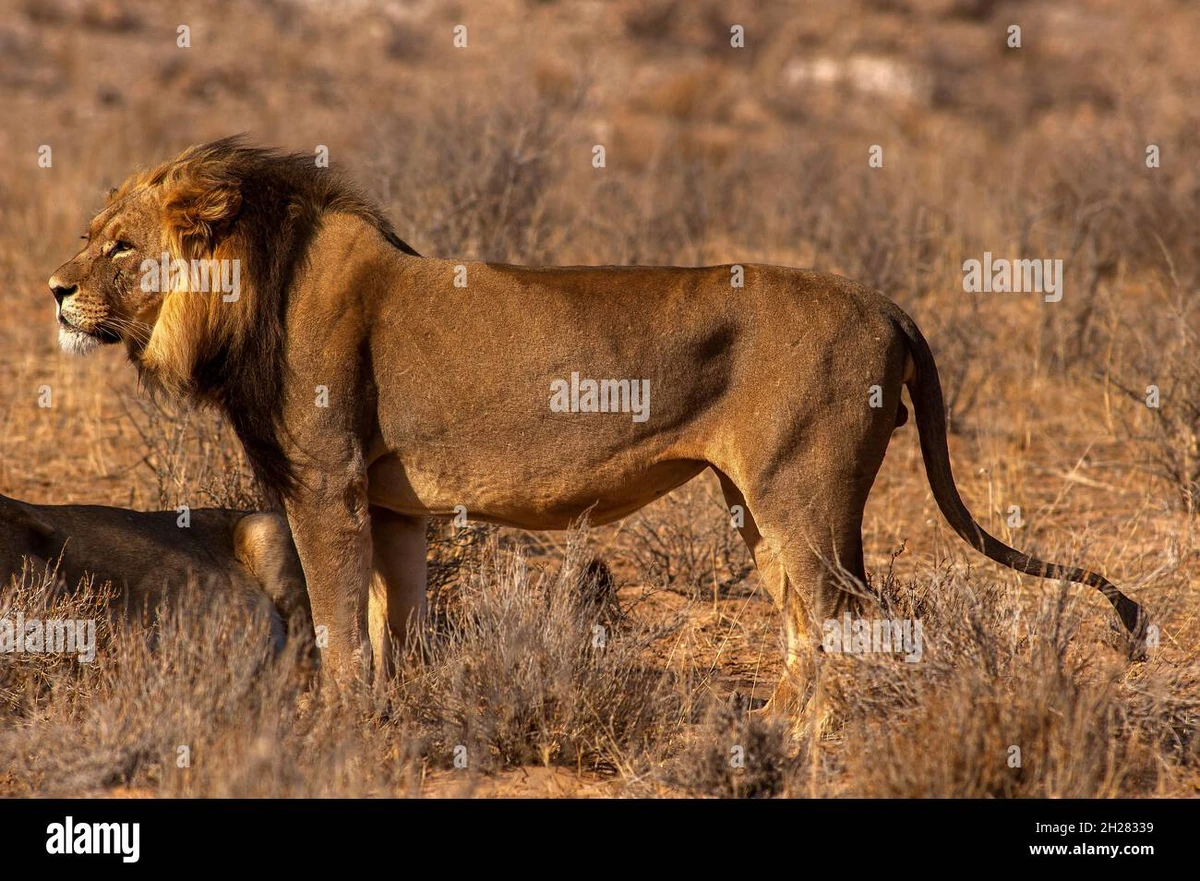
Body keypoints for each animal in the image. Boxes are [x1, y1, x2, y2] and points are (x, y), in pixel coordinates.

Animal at [47, 138, 1147, 712]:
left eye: (119, 246)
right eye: (91, 237)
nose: (54, 290)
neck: (251, 293)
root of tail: (887, 303)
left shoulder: (325, 483)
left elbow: (335, 624)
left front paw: (340, 723)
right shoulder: (392, 503)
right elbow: (393, 618)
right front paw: (401, 714)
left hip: (805, 494)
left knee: (850, 621)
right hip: (758, 506)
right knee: (807, 626)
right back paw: (773, 730)